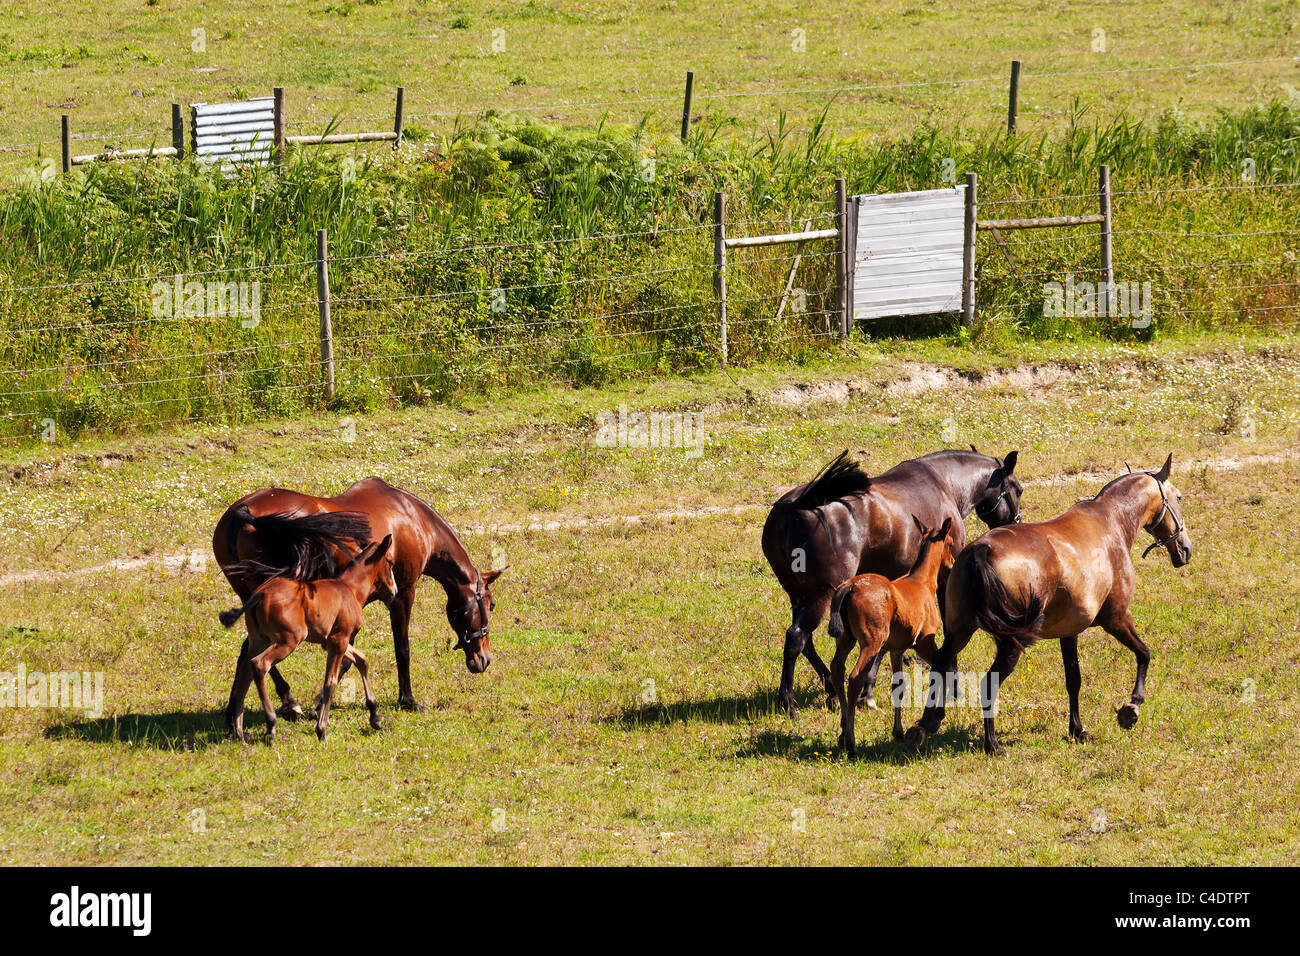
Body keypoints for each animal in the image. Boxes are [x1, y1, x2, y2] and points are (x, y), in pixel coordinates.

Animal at [213, 477, 504, 718]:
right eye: (490, 605)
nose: (485, 659)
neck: (413, 519)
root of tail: (244, 513)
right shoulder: (403, 594)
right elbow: (401, 647)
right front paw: (407, 700)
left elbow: (346, 655)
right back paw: (285, 702)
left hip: (254, 601)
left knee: (248, 650)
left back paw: (238, 711)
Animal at [220, 535, 398, 743]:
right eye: (390, 562)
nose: (394, 592)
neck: (350, 589)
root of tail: (260, 593)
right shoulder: (339, 639)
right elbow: (331, 681)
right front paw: (321, 729)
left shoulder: (330, 641)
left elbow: (362, 660)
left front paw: (375, 716)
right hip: (288, 640)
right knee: (259, 665)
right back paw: (271, 726)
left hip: (259, 640)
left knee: (244, 672)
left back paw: (240, 732)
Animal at [760, 447, 1023, 716]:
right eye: (1018, 489)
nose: (1014, 523)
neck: (944, 483)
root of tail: (794, 508)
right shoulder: (944, 581)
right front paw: (954, 689)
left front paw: (868, 690)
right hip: (819, 597)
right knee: (796, 637)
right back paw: (788, 701)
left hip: (799, 597)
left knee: (806, 643)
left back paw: (831, 690)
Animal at [827, 517, 955, 754]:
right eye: (950, 543)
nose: (952, 563)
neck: (922, 583)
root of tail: (849, 587)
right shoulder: (923, 643)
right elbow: (944, 669)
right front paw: (936, 717)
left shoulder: (896, 649)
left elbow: (899, 687)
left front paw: (898, 731)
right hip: (871, 642)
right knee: (854, 677)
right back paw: (851, 741)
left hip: (846, 639)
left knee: (837, 669)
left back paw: (842, 730)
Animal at [905, 454, 1192, 755]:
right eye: (1179, 498)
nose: (1185, 549)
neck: (1111, 520)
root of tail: (981, 552)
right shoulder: (1117, 619)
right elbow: (1144, 653)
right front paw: (1132, 707)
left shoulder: (1070, 631)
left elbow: (1073, 679)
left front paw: (1077, 730)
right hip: (1011, 643)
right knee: (988, 684)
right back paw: (992, 743)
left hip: (960, 631)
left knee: (941, 663)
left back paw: (924, 726)